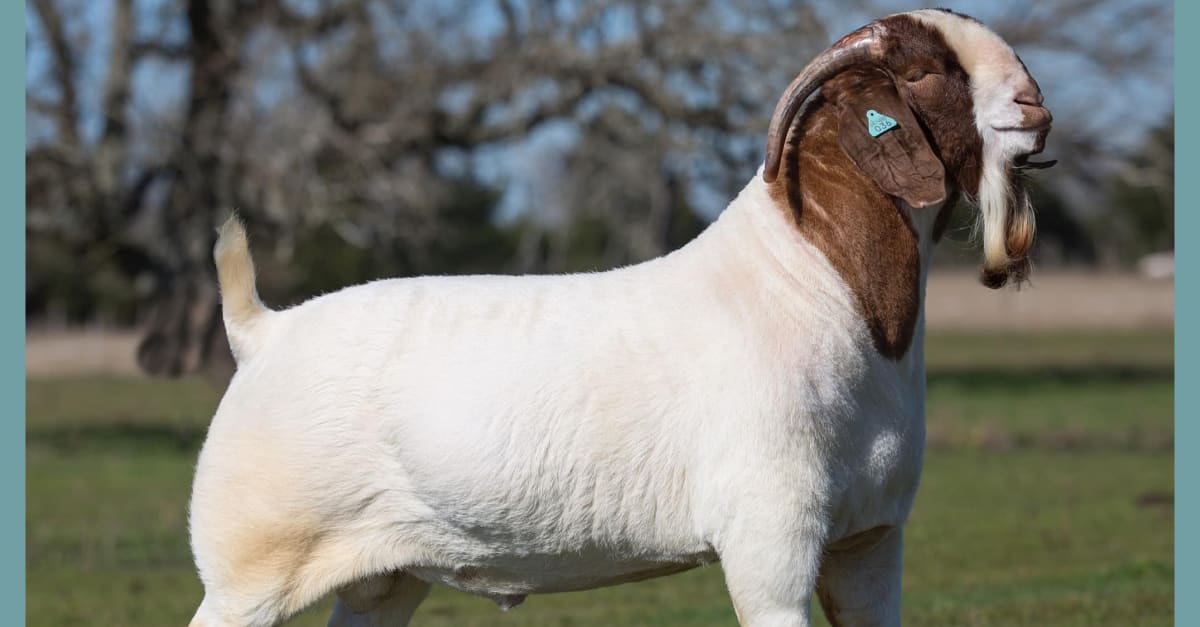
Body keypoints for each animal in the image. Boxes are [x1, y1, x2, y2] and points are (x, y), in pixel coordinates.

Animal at [187, 9, 1054, 627]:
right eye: (927, 70)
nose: (1035, 106)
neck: (815, 283)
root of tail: (263, 330)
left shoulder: (870, 542)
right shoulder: (772, 544)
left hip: (383, 578)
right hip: (249, 565)